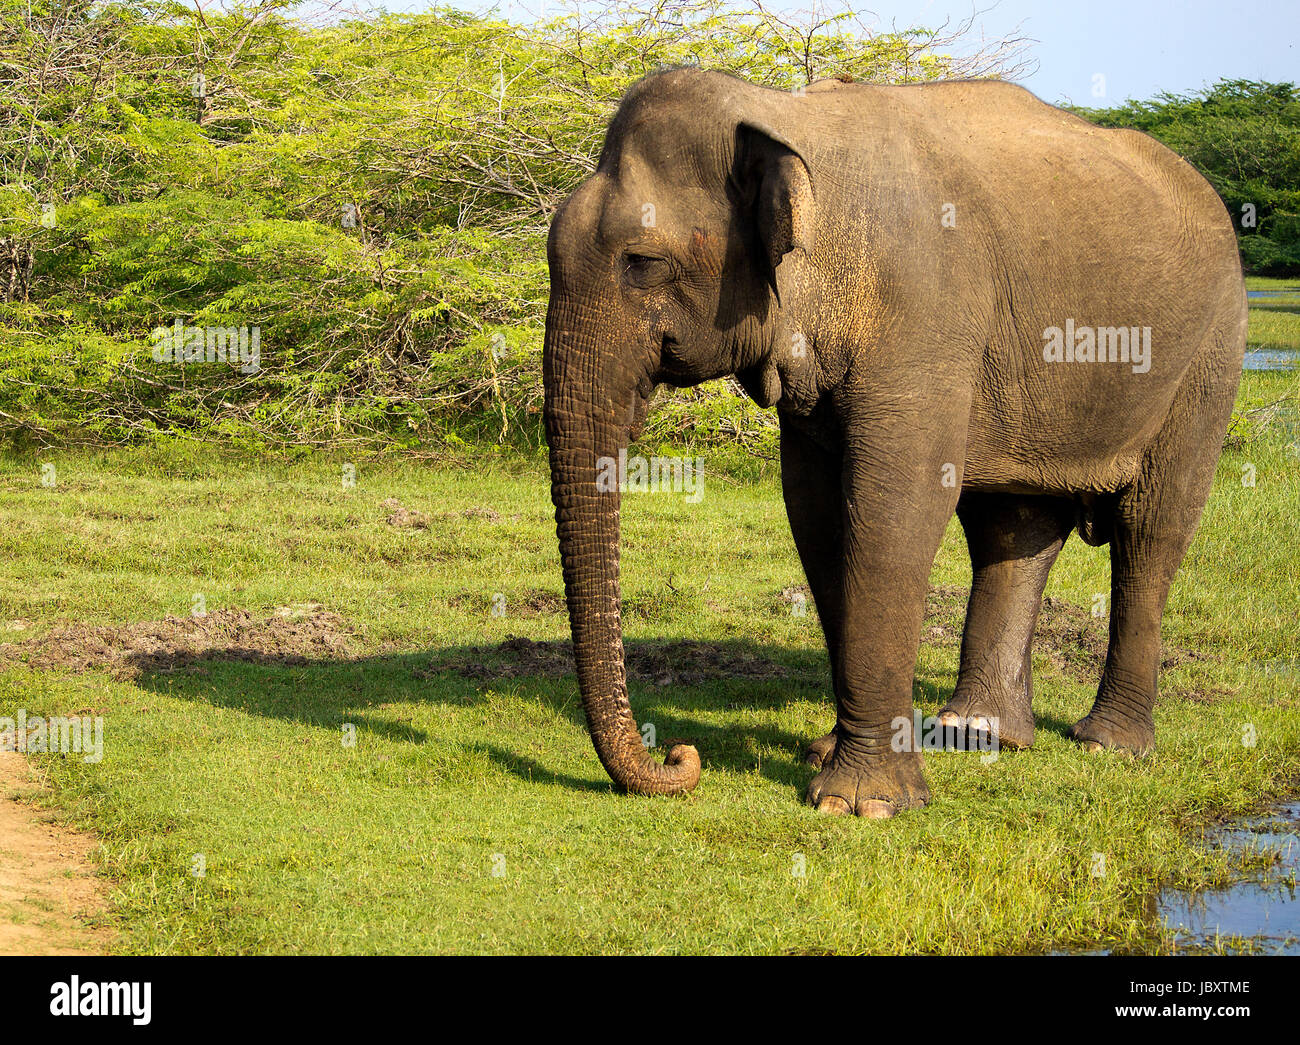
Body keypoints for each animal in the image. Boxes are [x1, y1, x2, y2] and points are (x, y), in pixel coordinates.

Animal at [542, 67, 1247, 817]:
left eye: (641, 262)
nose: (680, 756)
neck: (783, 114)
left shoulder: (922, 314)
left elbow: (893, 511)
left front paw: (861, 804)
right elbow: (816, 514)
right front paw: (826, 757)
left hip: (1211, 352)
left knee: (1152, 529)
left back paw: (1107, 745)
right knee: (1012, 526)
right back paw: (976, 734)